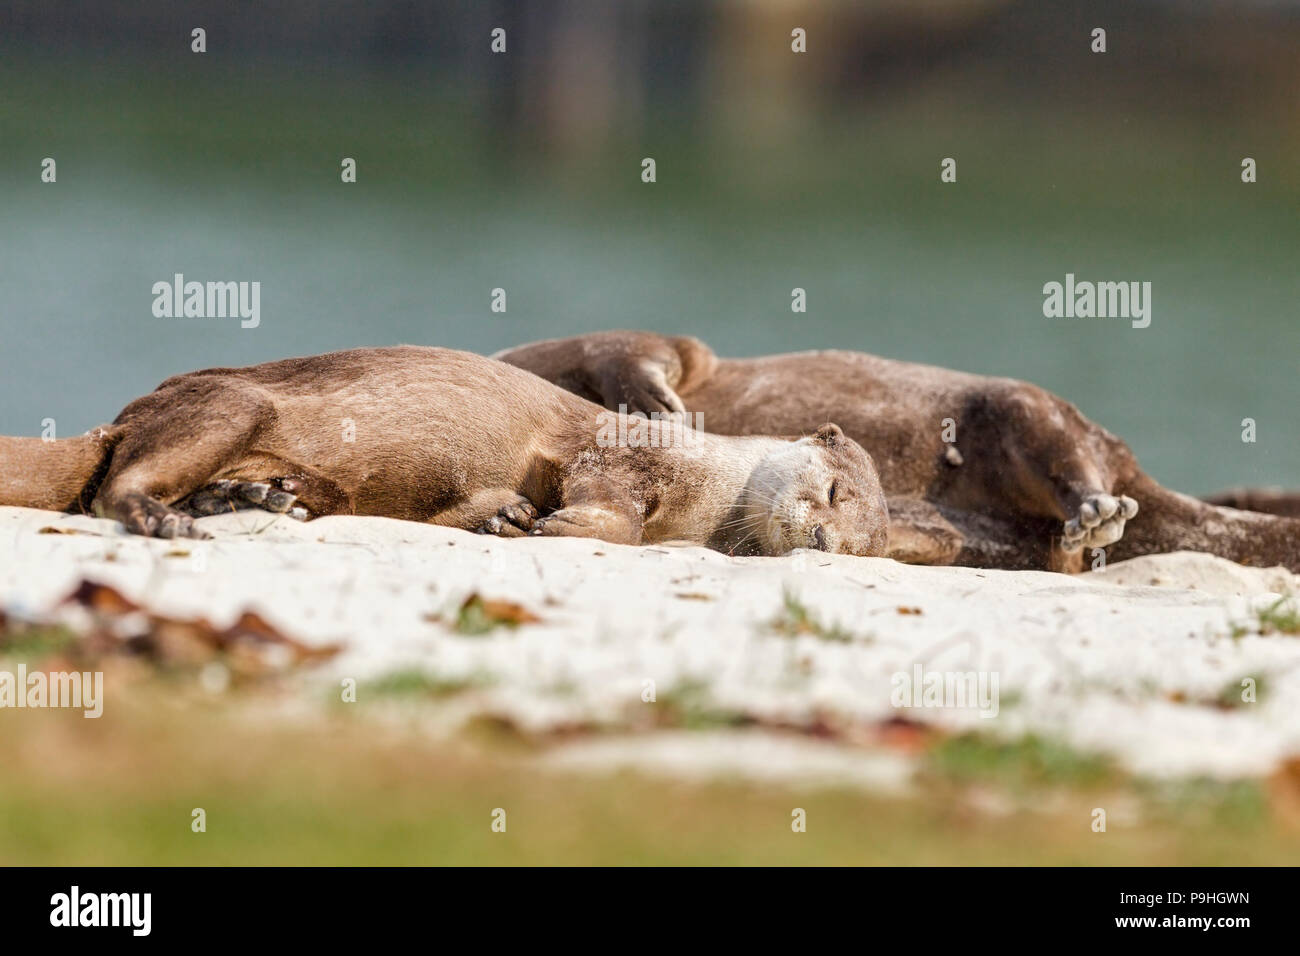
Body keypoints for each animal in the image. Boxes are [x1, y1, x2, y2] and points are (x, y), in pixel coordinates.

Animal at [494, 331, 1300, 573]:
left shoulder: (665, 351)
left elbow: (639, 352)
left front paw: (658, 403)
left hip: (1021, 406)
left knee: (1065, 449)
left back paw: (1096, 509)